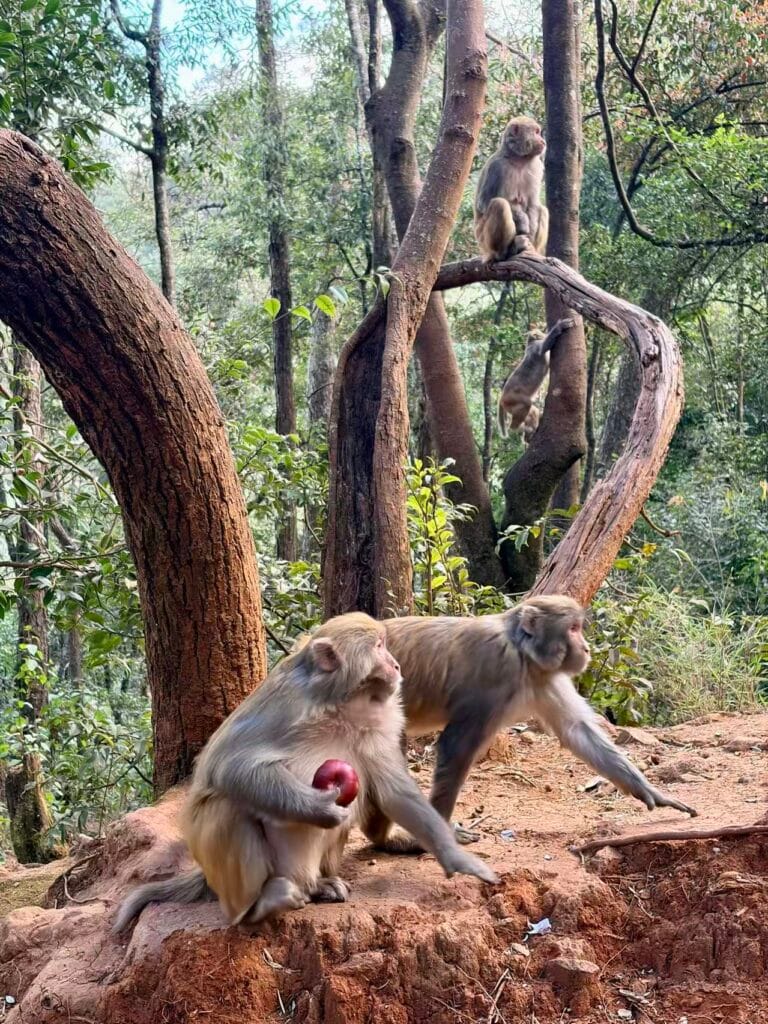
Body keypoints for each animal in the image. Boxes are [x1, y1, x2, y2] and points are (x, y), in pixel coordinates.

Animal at [113, 613, 497, 933]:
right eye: (378, 646)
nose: (396, 664)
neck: (344, 701)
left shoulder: (384, 715)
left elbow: (393, 790)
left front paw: (454, 856)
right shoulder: (288, 701)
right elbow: (229, 764)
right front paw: (319, 808)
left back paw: (319, 885)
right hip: (237, 872)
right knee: (228, 806)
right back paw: (257, 906)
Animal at [362, 596, 696, 852]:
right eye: (573, 628)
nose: (587, 648)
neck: (521, 651)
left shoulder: (544, 677)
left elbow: (577, 731)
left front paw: (650, 791)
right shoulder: (496, 671)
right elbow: (456, 748)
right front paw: (443, 835)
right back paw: (384, 838)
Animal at [474, 115, 549, 262]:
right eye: (536, 132)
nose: (543, 141)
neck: (519, 159)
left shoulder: (536, 167)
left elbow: (533, 204)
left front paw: (530, 233)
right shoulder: (496, 167)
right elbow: (484, 202)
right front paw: (522, 220)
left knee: (543, 209)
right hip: (482, 240)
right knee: (499, 204)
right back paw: (503, 252)